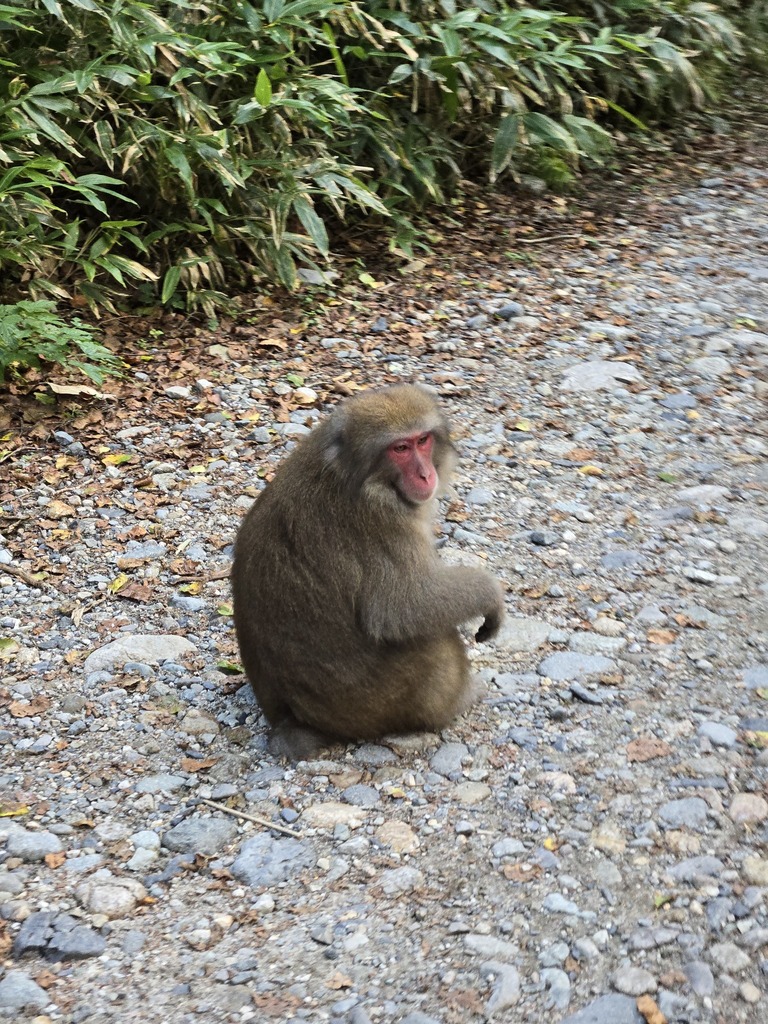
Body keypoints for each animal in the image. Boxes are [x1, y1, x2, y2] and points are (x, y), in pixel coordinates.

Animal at [231, 383, 505, 759]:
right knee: (433, 639)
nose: (425, 475)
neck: (351, 470)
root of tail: (291, 721)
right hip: (373, 704)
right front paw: (491, 593)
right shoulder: (380, 519)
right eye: (400, 448)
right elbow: (401, 609)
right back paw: (458, 701)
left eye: (422, 441)